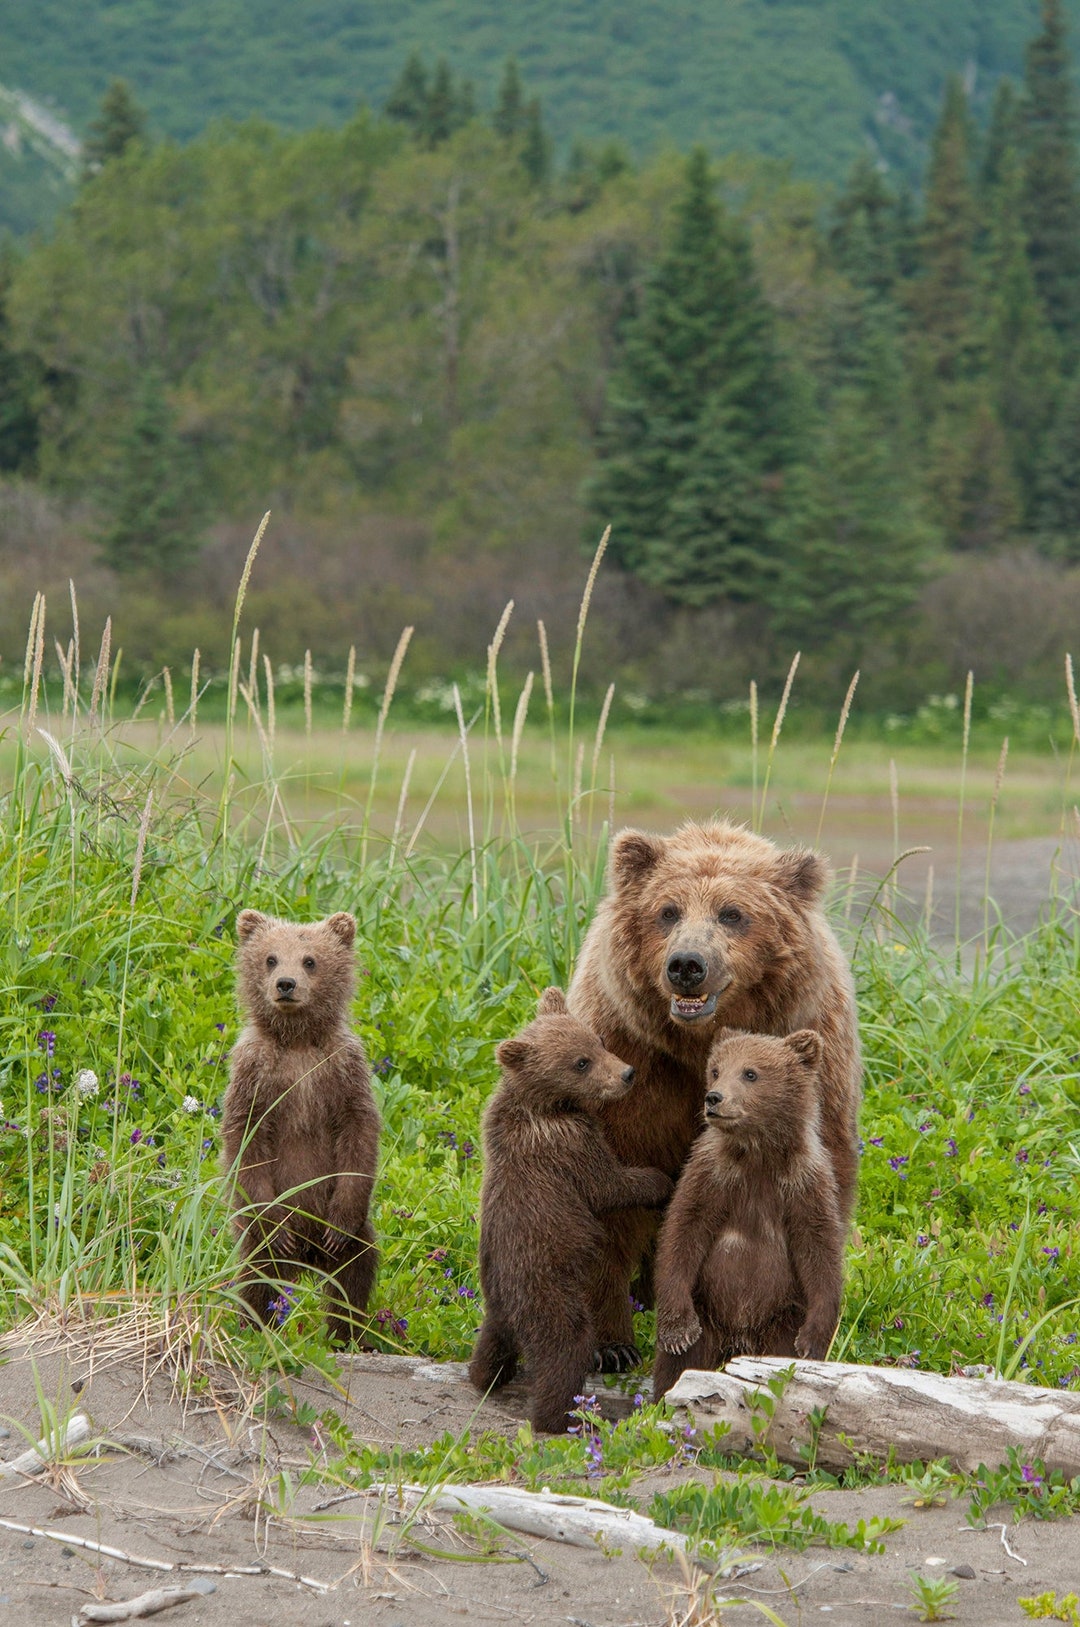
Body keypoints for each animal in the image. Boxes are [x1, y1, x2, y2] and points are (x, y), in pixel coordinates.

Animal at [222, 908, 380, 1344]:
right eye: (270, 958)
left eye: (310, 960)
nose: (286, 984)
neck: (296, 1041)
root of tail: (307, 1259)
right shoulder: (254, 1075)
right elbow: (246, 1140)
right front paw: (276, 1226)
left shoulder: (341, 1069)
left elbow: (359, 1131)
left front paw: (339, 1223)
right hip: (258, 1242)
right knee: (257, 1276)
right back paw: (256, 1327)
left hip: (349, 1230)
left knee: (356, 1269)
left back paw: (347, 1335)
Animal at [469, 987, 674, 1433]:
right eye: (581, 1062)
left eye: (598, 1041)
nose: (627, 1073)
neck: (544, 1105)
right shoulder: (568, 1145)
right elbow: (609, 1184)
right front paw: (660, 1179)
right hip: (551, 1291)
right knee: (566, 1348)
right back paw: (560, 1416)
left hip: (495, 1304)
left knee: (491, 1342)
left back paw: (485, 1375)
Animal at [652, 1027, 845, 1399]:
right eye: (715, 1069)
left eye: (750, 1073)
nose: (714, 1098)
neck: (759, 1155)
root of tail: (739, 1337)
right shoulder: (711, 1175)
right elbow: (683, 1229)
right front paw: (677, 1331)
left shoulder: (806, 1184)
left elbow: (820, 1248)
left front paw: (813, 1340)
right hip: (708, 1311)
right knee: (682, 1365)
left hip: (779, 1319)